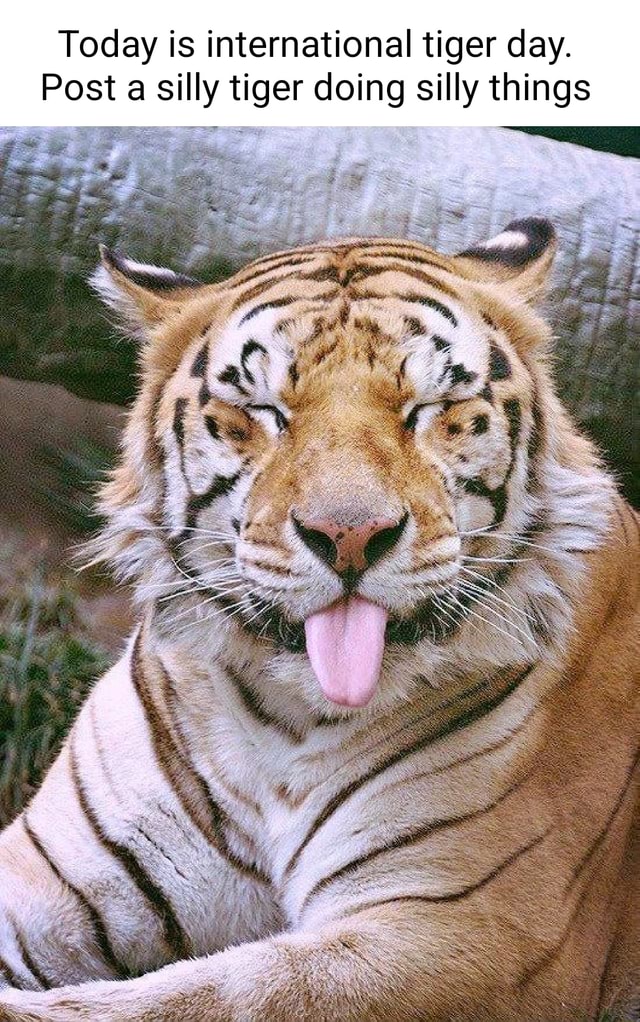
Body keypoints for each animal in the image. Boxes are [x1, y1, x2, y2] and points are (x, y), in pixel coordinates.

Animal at [0, 218, 639, 1022]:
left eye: (426, 410)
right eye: (265, 413)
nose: (350, 535)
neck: (285, 718)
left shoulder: (469, 929)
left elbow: (213, 993)